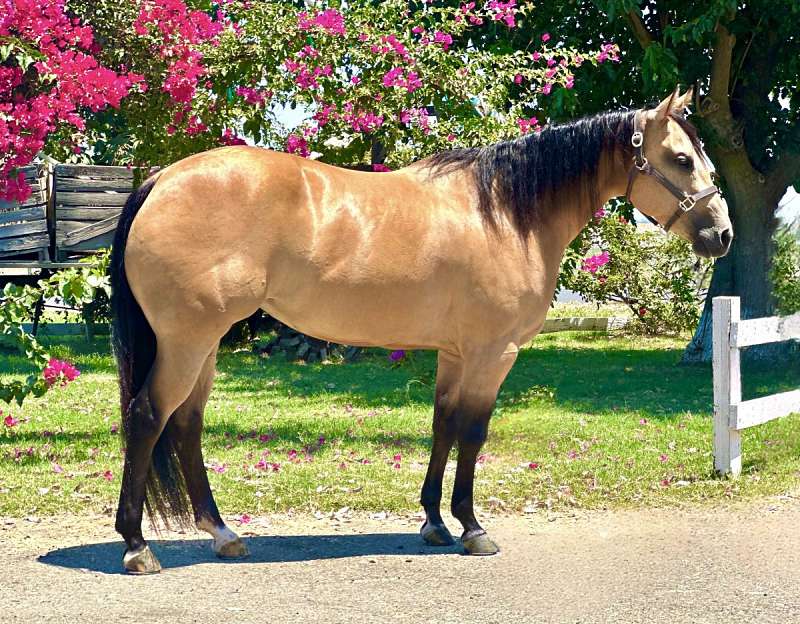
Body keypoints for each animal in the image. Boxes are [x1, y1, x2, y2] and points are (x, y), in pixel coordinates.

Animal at [110, 87, 732, 573]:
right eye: (681, 159)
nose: (721, 234)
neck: (504, 214)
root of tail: (162, 180)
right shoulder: (492, 354)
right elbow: (473, 433)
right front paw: (473, 528)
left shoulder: (455, 354)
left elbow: (443, 427)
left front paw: (434, 522)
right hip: (188, 342)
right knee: (147, 418)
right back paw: (138, 546)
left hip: (204, 346)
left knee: (185, 427)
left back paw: (223, 534)